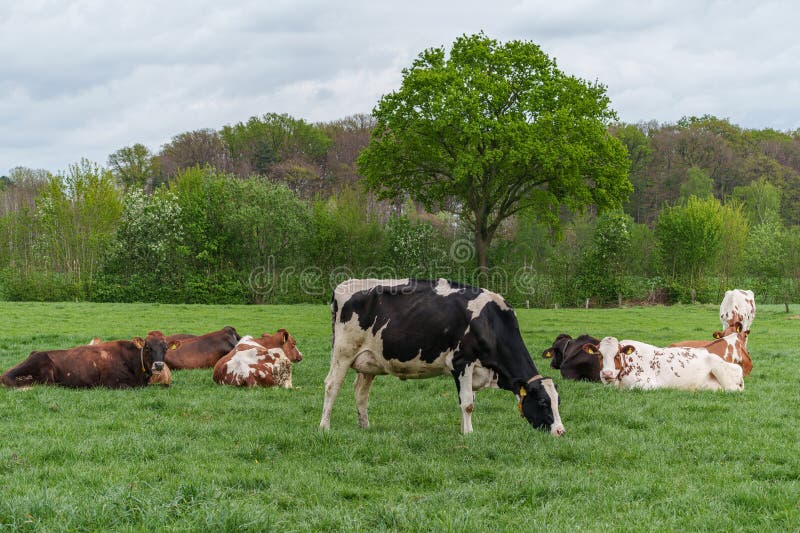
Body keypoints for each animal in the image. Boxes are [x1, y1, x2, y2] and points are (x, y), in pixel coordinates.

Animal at [319, 278, 565, 436]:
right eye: (543, 402)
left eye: (558, 401)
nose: (560, 431)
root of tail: (344, 285)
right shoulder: (462, 362)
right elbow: (467, 403)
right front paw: (469, 434)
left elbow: (469, 401)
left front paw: (464, 430)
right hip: (343, 352)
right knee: (332, 385)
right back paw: (324, 427)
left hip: (369, 361)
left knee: (361, 393)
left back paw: (365, 427)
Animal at [594, 336, 744, 392]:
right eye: (600, 355)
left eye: (617, 355)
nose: (607, 373)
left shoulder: (649, 384)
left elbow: (633, 388)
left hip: (719, 369)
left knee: (733, 389)